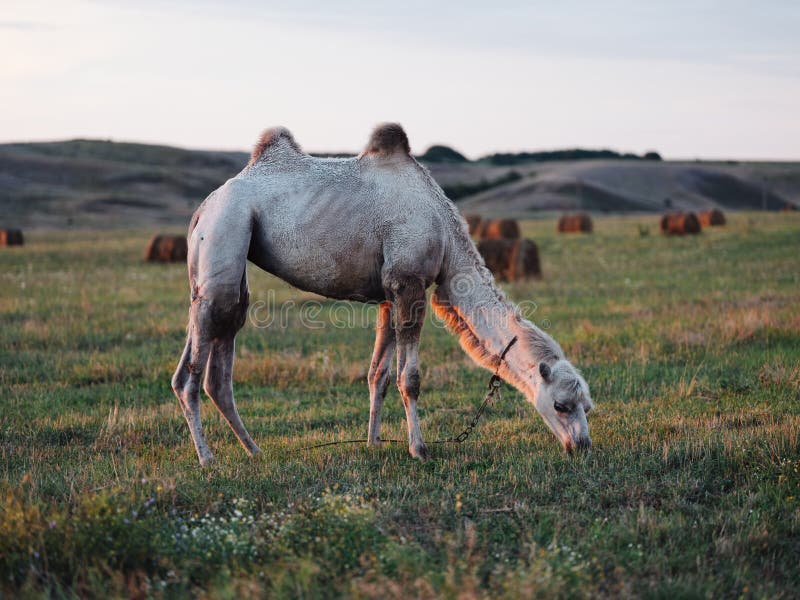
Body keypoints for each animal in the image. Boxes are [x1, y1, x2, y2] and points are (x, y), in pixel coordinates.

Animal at [172, 123, 593, 466]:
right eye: (561, 405)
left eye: (588, 405)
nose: (582, 446)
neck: (446, 239)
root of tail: (204, 206)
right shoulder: (409, 282)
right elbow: (411, 379)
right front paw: (419, 449)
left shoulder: (390, 293)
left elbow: (380, 374)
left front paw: (374, 442)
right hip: (225, 232)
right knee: (192, 370)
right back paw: (207, 457)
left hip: (223, 270)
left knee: (217, 362)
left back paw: (253, 449)